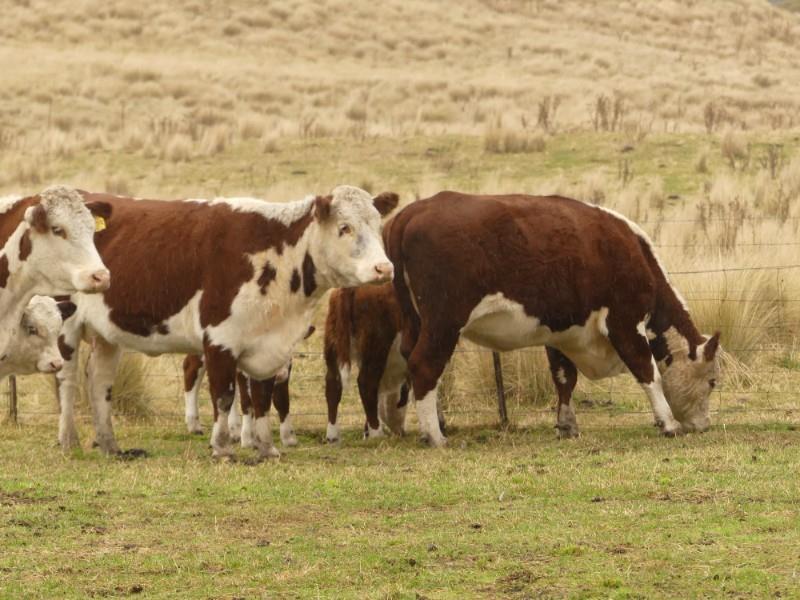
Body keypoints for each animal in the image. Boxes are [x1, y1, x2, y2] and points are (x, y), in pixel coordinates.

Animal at [56, 186, 399, 459]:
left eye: (377, 225)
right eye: (345, 227)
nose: (384, 268)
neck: (276, 253)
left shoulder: (267, 344)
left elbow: (261, 398)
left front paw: (266, 447)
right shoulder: (220, 339)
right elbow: (224, 395)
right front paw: (222, 446)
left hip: (106, 336)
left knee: (99, 382)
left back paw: (109, 444)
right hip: (66, 325)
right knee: (67, 382)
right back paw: (68, 439)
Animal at [385, 192, 721, 446]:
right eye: (713, 381)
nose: (703, 425)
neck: (632, 251)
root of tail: (413, 212)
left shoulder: (562, 332)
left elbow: (564, 379)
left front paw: (567, 425)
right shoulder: (623, 322)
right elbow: (647, 371)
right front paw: (668, 422)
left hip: (415, 321)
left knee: (417, 364)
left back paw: (439, 423)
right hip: (443, 323)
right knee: (425, 365)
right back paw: (435, 436)